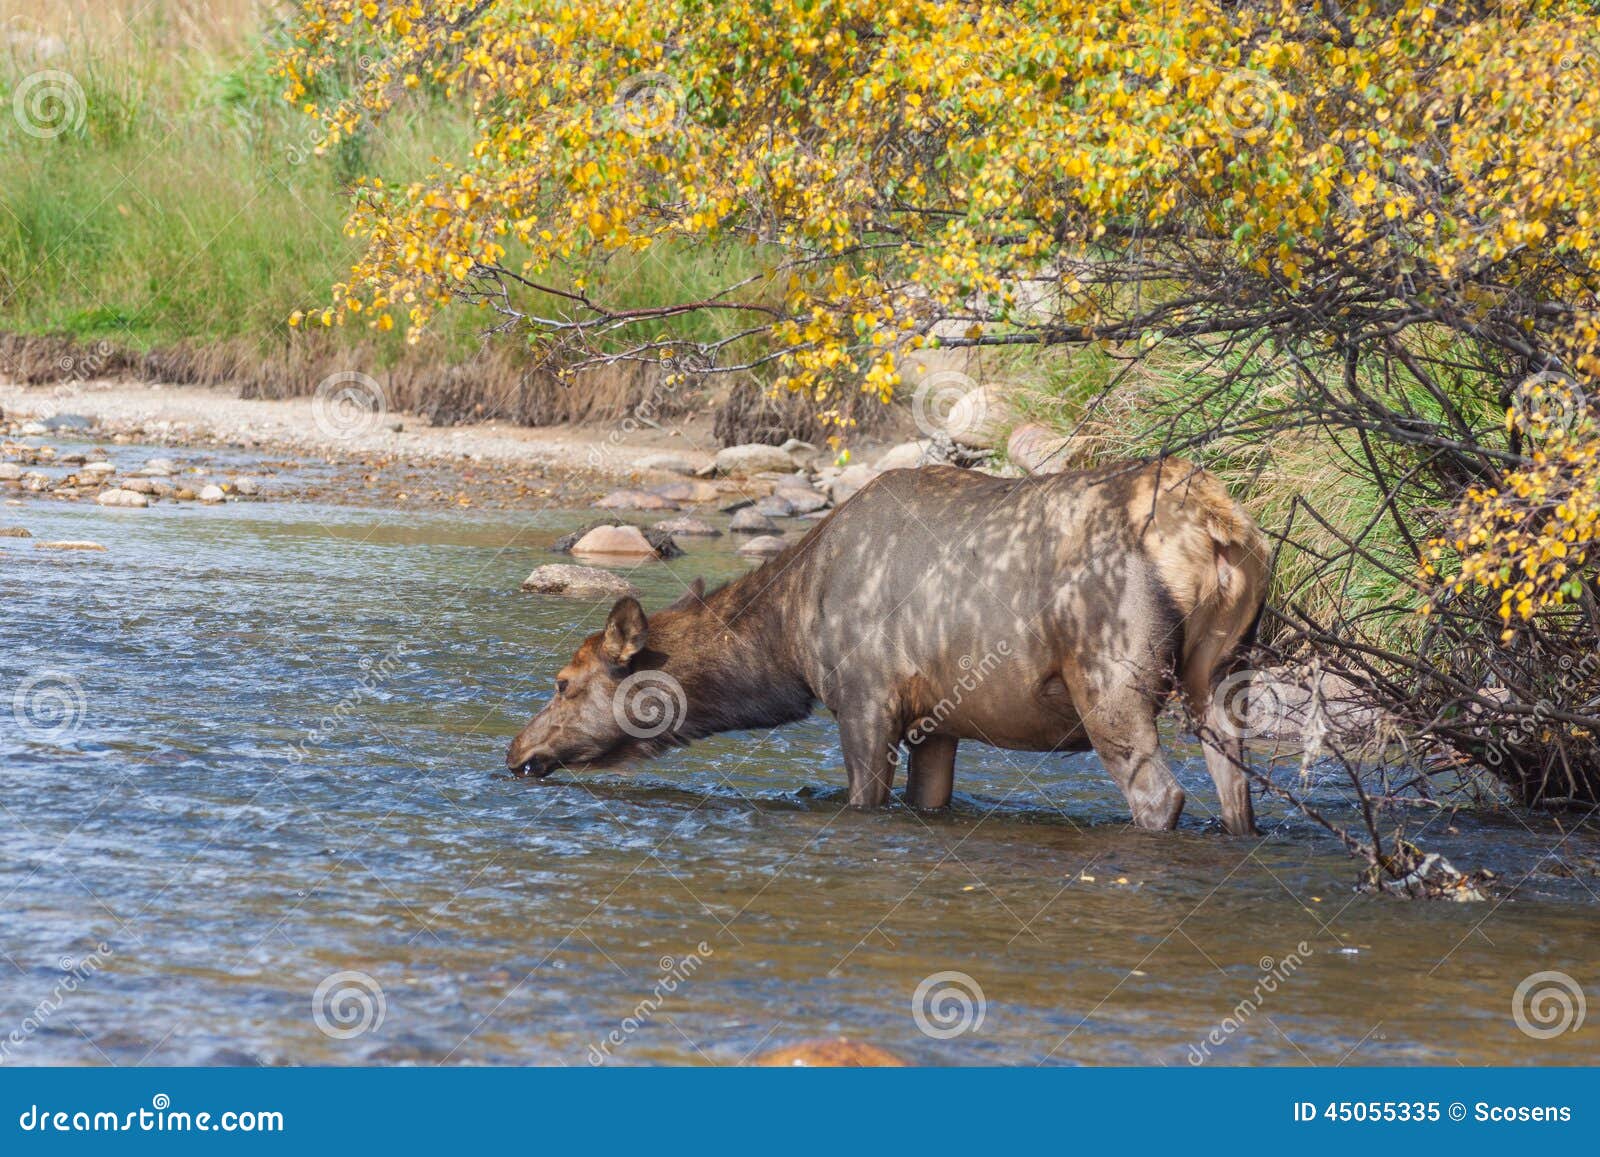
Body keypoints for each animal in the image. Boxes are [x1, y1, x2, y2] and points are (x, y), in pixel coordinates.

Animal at [506, 461, 1270, 834]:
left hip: (1110, 675)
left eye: (563, 680)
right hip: (1223, 675)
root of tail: (1220, 528)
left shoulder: (866, 700)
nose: (517, 750)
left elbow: (864, 798)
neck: (788, 633)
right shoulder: (939, 721)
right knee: (1236, 791)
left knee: (1160, 793)